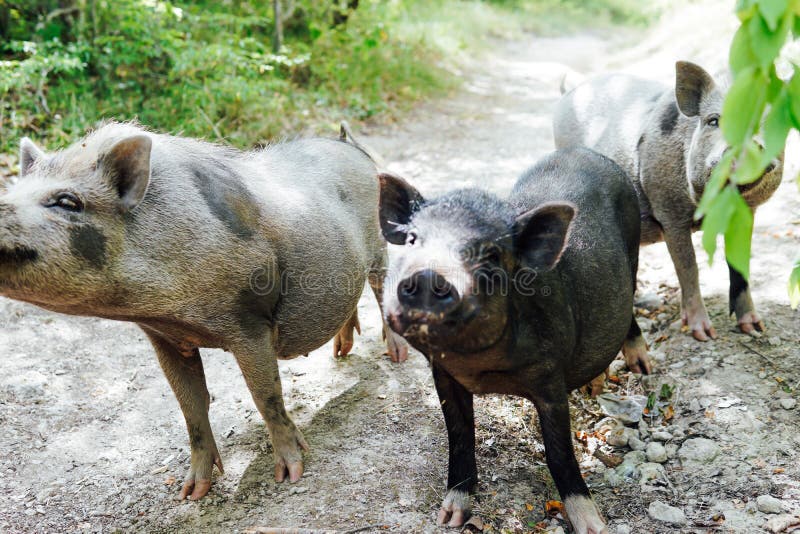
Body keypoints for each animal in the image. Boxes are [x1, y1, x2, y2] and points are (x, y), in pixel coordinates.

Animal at [0, 121, 407, 501]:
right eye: (14, 190)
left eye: (67, 201)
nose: (3, 208)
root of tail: (349, 145)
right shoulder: (165, 338)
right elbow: (191, 407)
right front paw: (191, 493)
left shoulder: (249, 321)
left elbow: (266, 396)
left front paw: (290, 475)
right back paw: (340, 354)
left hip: (379, 246)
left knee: (382, 288)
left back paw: (396, 356)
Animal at [378, 147, 641, 534]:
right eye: (413, 240)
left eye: (491, 255)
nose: (428, 275)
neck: (480, 368)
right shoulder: (443, 374)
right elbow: (459, 435)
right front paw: (450, 517)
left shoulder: (551, 376)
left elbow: (559, 451)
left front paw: (594, 527)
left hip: (634, 252)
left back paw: (639, 366)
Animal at [553, 61, 783, 341]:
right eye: (713, 121)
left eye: (766, 121)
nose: (743, 146)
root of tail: (570, 90)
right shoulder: (669, 213)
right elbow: (689, 268)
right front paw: (704, 335)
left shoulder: (747, 213)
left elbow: (740, 267)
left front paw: (756, 328)